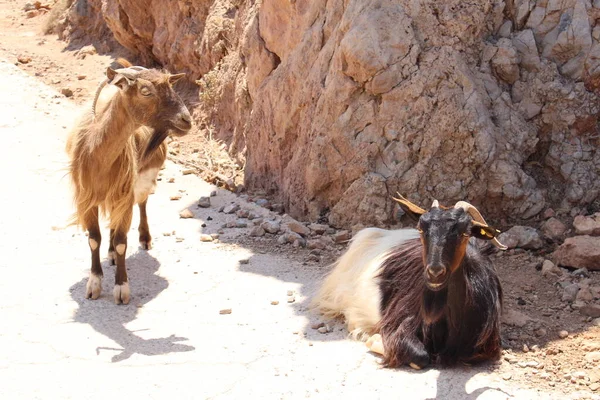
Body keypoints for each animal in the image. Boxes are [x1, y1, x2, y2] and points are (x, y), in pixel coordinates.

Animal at [66, 58, 192, 304]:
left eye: (170, 86)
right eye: (145, 91)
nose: (186, 120)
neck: (97, 155)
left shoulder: (124, 195)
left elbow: (122, 242)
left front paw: (121, 287)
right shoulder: (87, 199)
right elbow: (94, 239)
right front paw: (94, 284)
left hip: (143, 180)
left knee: (142, 204)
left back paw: (144, 238)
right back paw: (111, 254)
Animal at [314, 195, 506, 368]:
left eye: (465, 233)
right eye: (421, 229)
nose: (435, 273)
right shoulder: (401, 319)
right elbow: (419, 357)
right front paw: (374, 338)